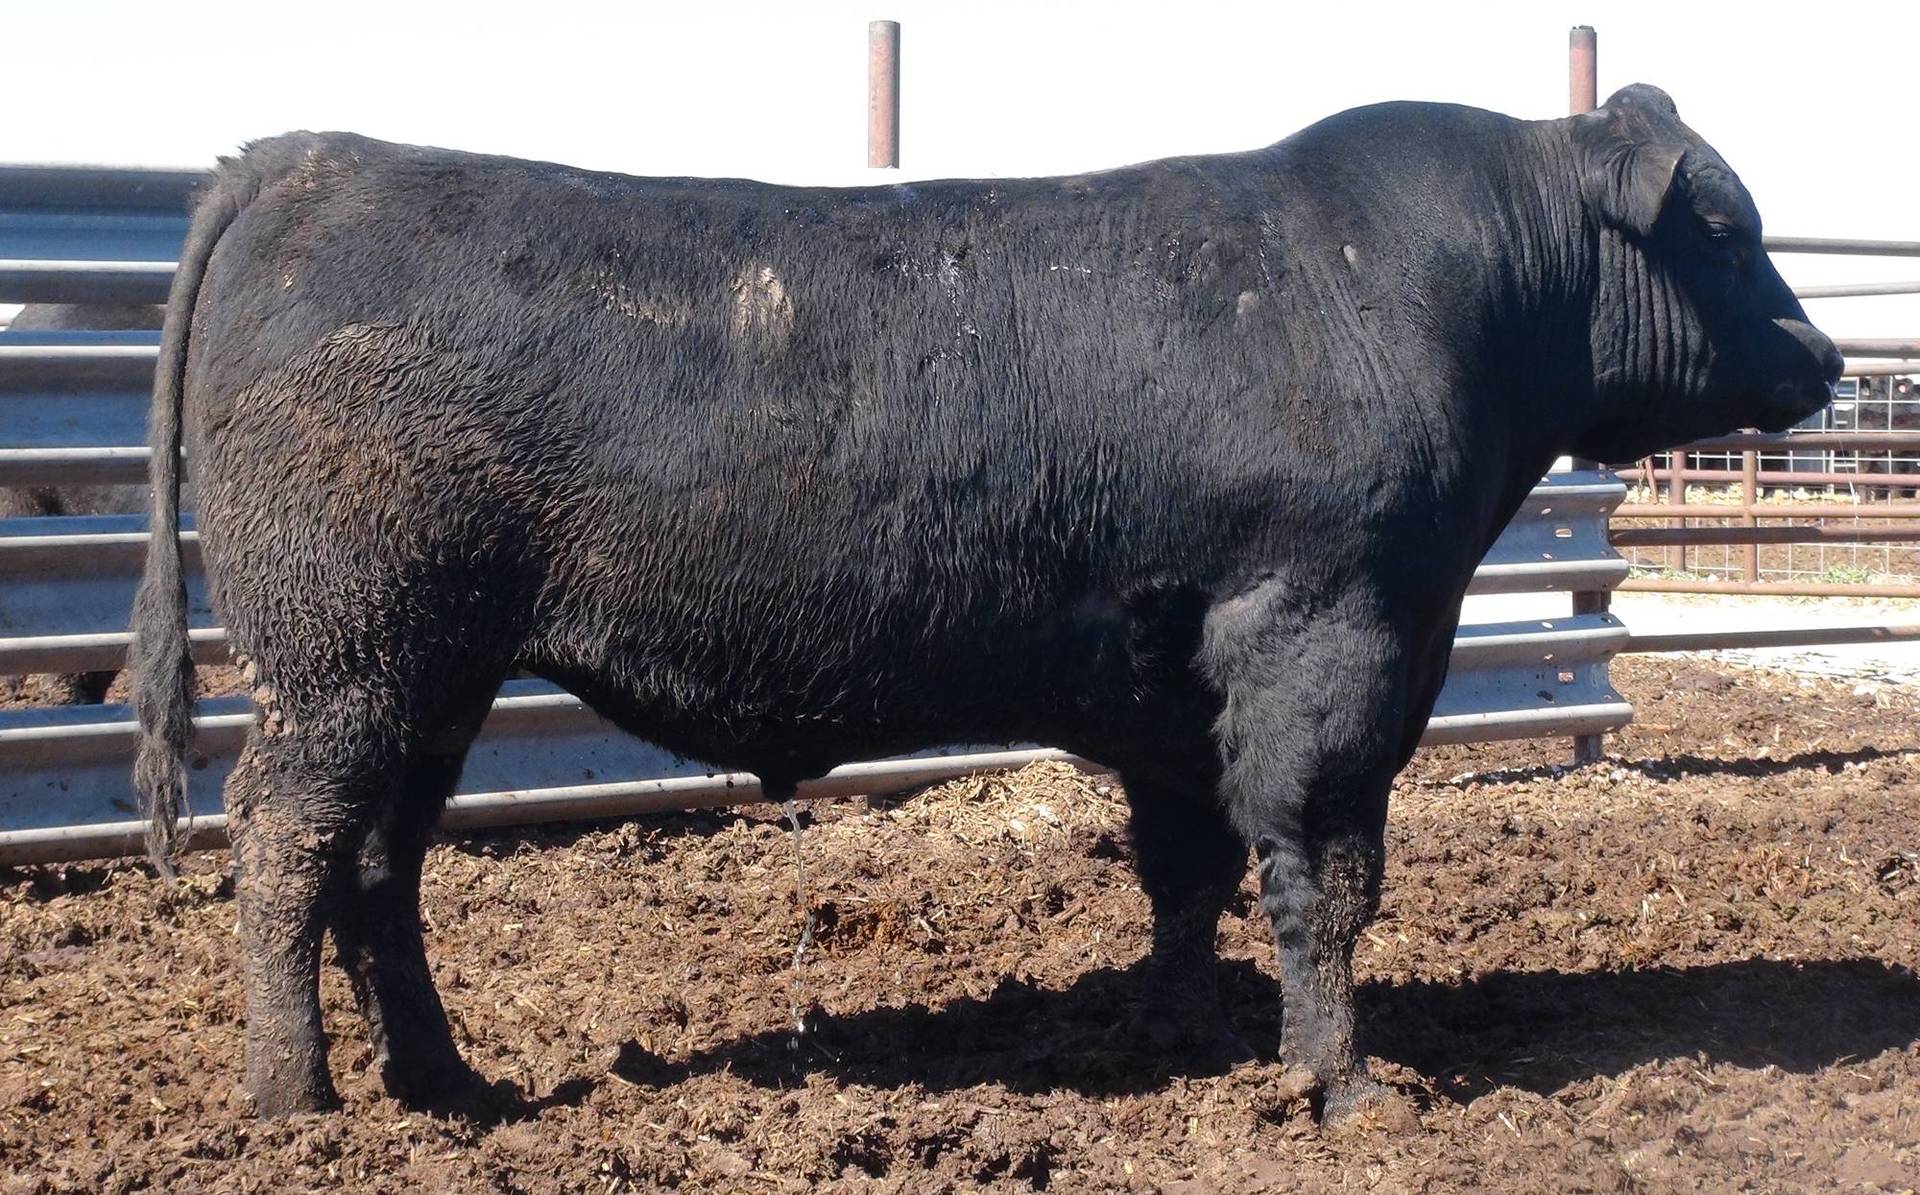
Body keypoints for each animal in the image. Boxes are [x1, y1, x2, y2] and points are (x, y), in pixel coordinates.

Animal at [129, 84, 1838, 1120]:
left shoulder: (1178, 672)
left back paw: (448, 1085)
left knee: (381, 864)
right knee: (287, 839)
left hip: (430, 667)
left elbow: (1186, 864)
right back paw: (298, 1097)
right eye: (1728, 224)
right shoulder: (1332, 629)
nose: (1824, 356)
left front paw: (1175, 1036)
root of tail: (306, 158)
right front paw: (1342, 1085)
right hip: (347, 651)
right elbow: (1321, 864)